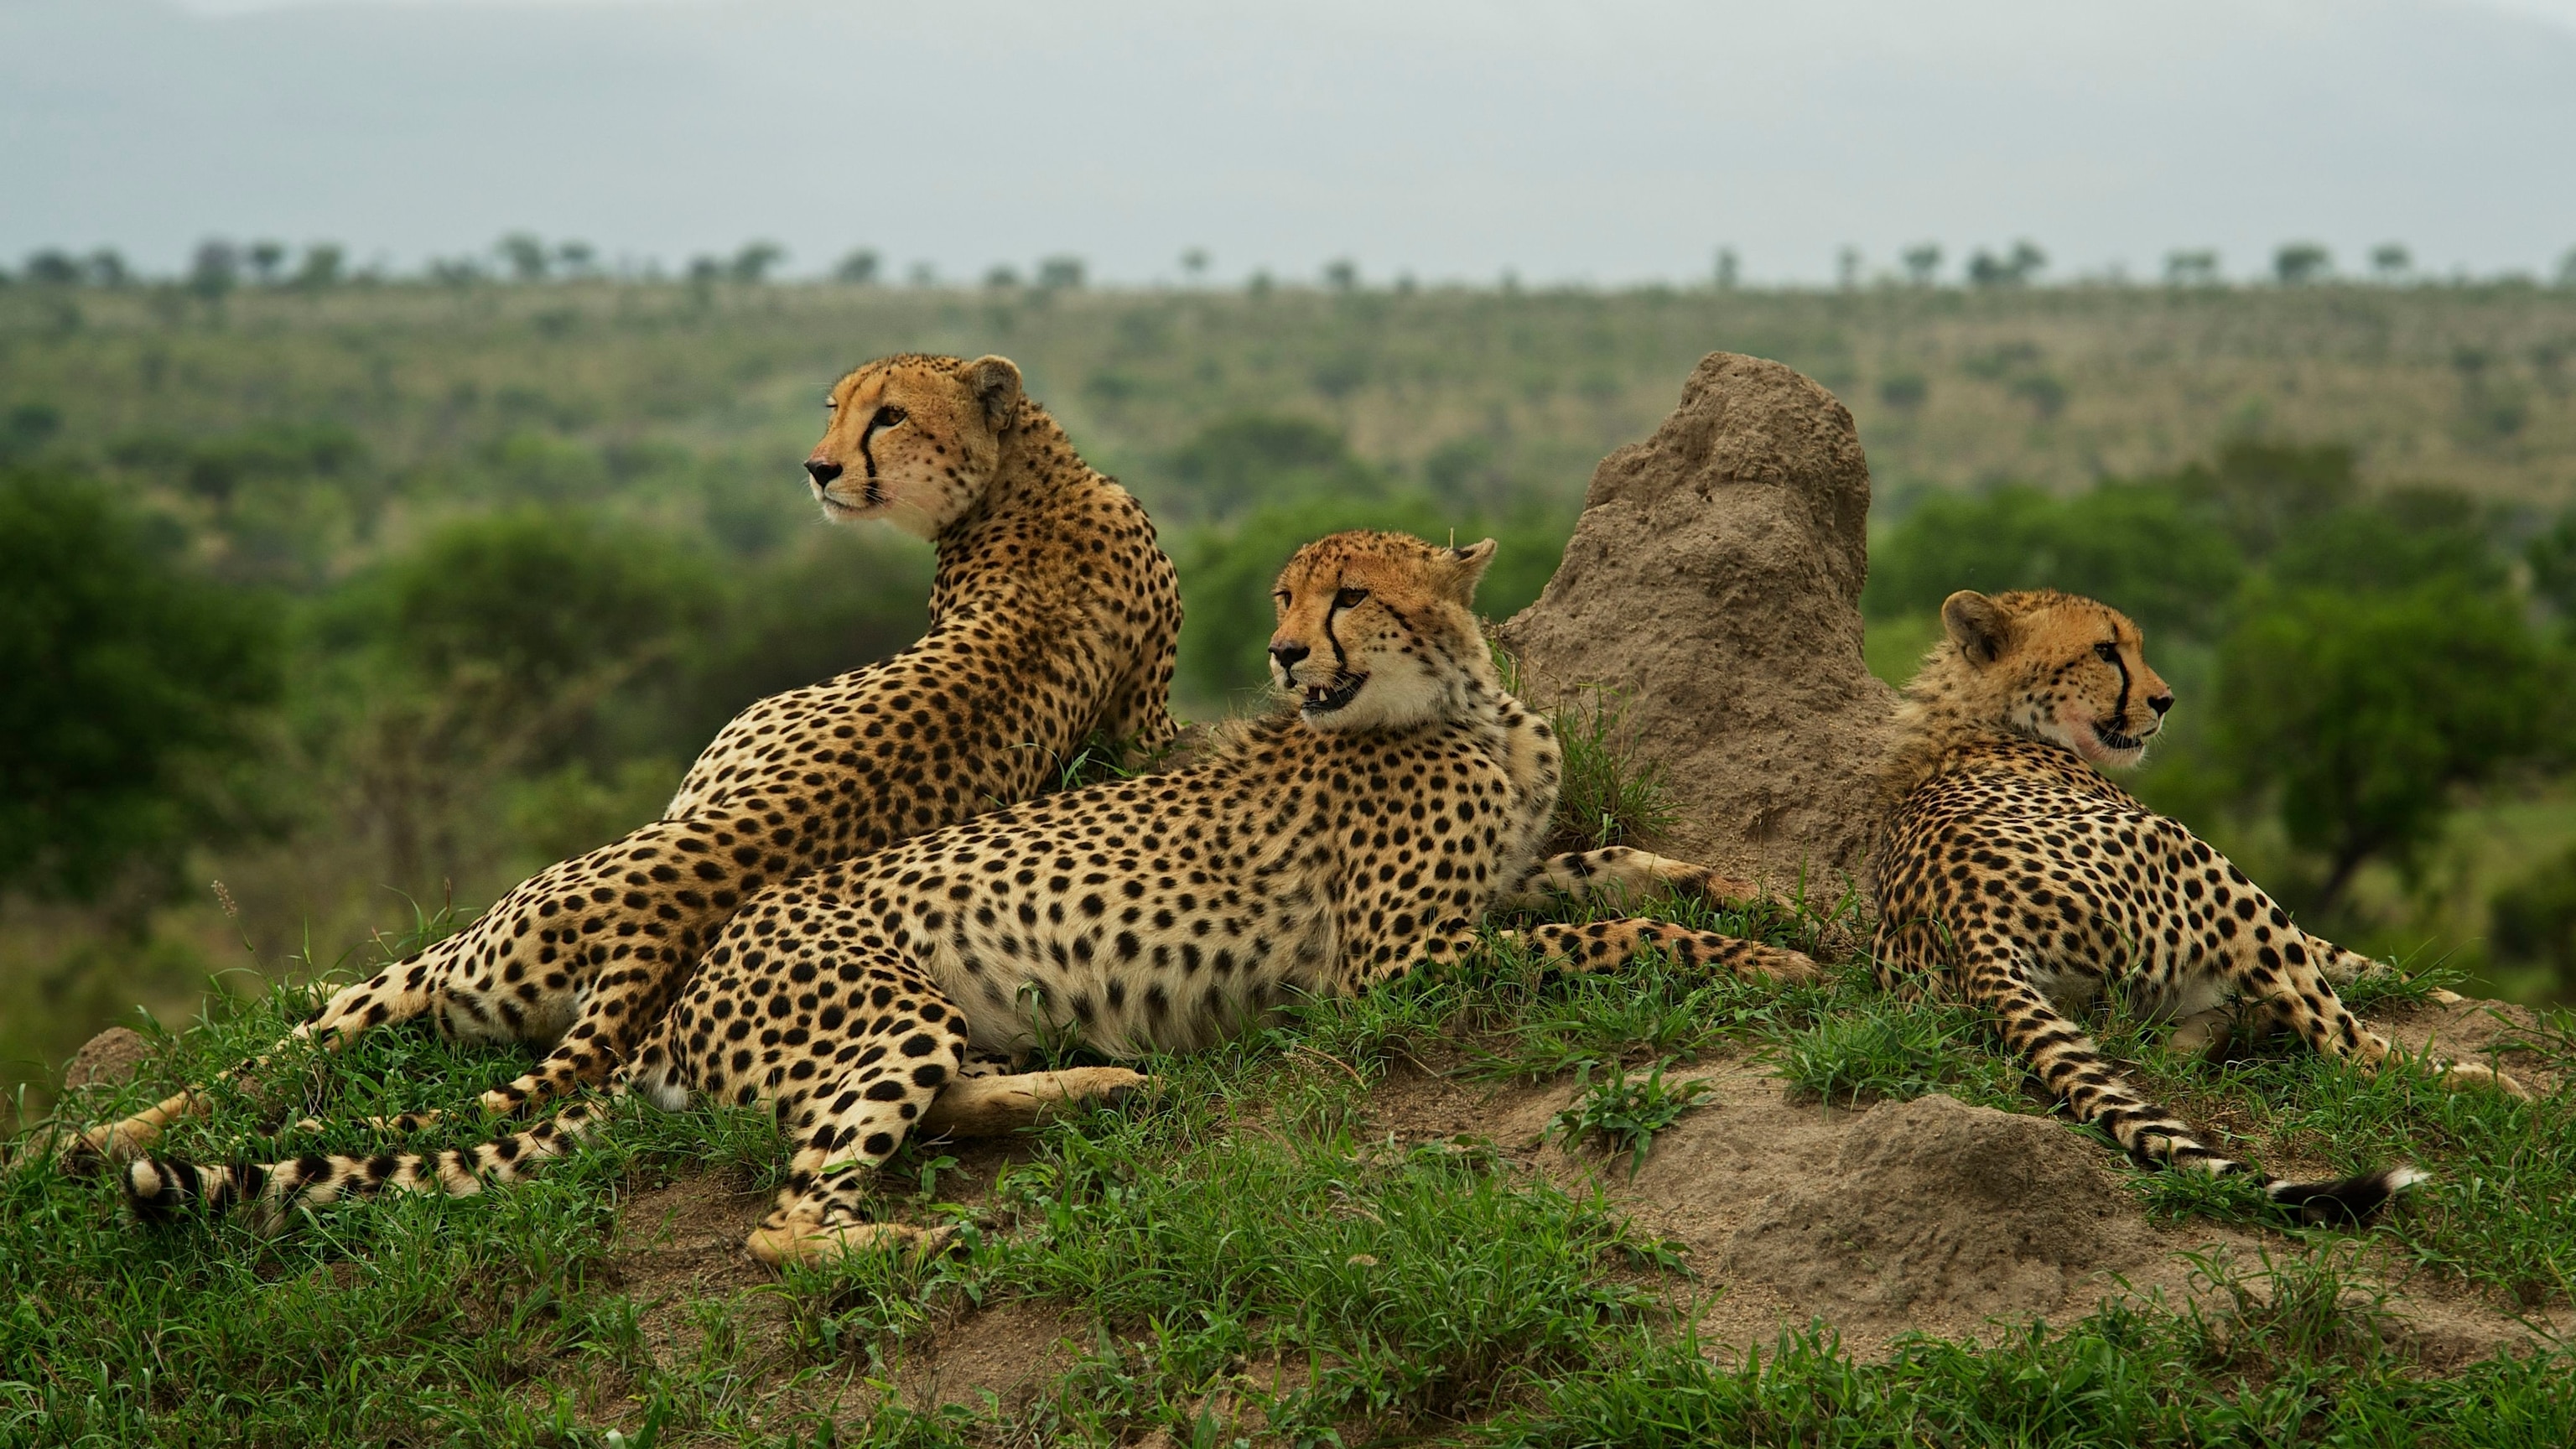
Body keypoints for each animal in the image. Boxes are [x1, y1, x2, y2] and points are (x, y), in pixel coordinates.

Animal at [75, 353, 1183, 1165]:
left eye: (891, 417)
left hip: (451, 960)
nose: (818, 468)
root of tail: (650, 935)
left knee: (284, 1046)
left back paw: (93, 1139)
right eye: (837, 410)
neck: (1030, 480)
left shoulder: (1145, 720)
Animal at [123, 529, 1823, 1263]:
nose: (1284, 652)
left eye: (1347, 594)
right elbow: (1608, 928)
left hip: (924, 1025)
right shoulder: (1404, 965)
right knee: (789, 1223)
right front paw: (1775, 966)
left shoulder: (1512, 876)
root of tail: (684, 981)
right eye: (1283, 595)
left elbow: (1629, 869)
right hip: (879, 1019)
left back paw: (1097, 1084)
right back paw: (935, 1237)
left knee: (918, 1122)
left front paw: (1791, 905)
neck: (1456, 699)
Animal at [1871, 586, 2525, 1221]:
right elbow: (2353, 959)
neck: (1976, 717)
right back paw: (2481, 1084)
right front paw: (2454, 1003)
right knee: (2351, 1050)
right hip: (2201, 861)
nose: (2165, 700)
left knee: (2167, 1042)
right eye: (2105, 650)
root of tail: (1968, 929)